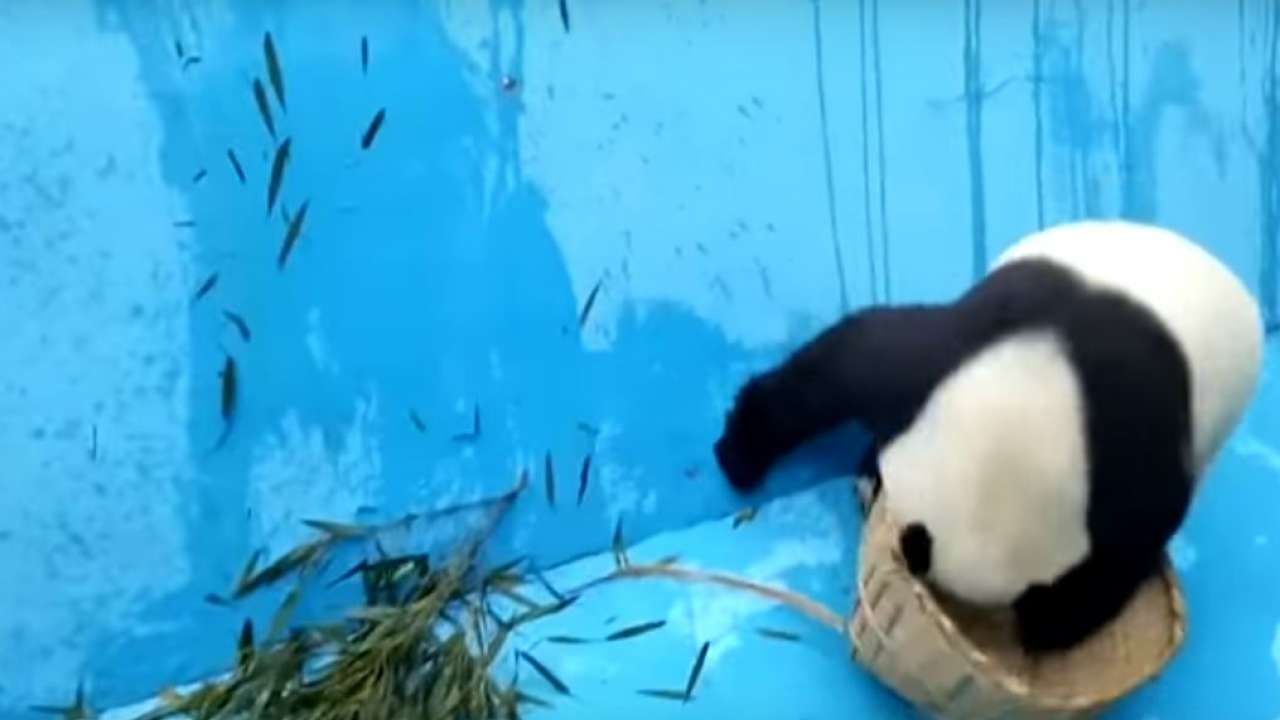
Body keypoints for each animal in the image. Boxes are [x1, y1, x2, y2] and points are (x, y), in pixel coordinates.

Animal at [714, 220, 1263, 654]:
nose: (865, 490)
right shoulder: (947, 359)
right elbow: (849, 359)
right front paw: (741, 453)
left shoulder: (1127, 451)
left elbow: (1136, 534)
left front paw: (1054, 620)